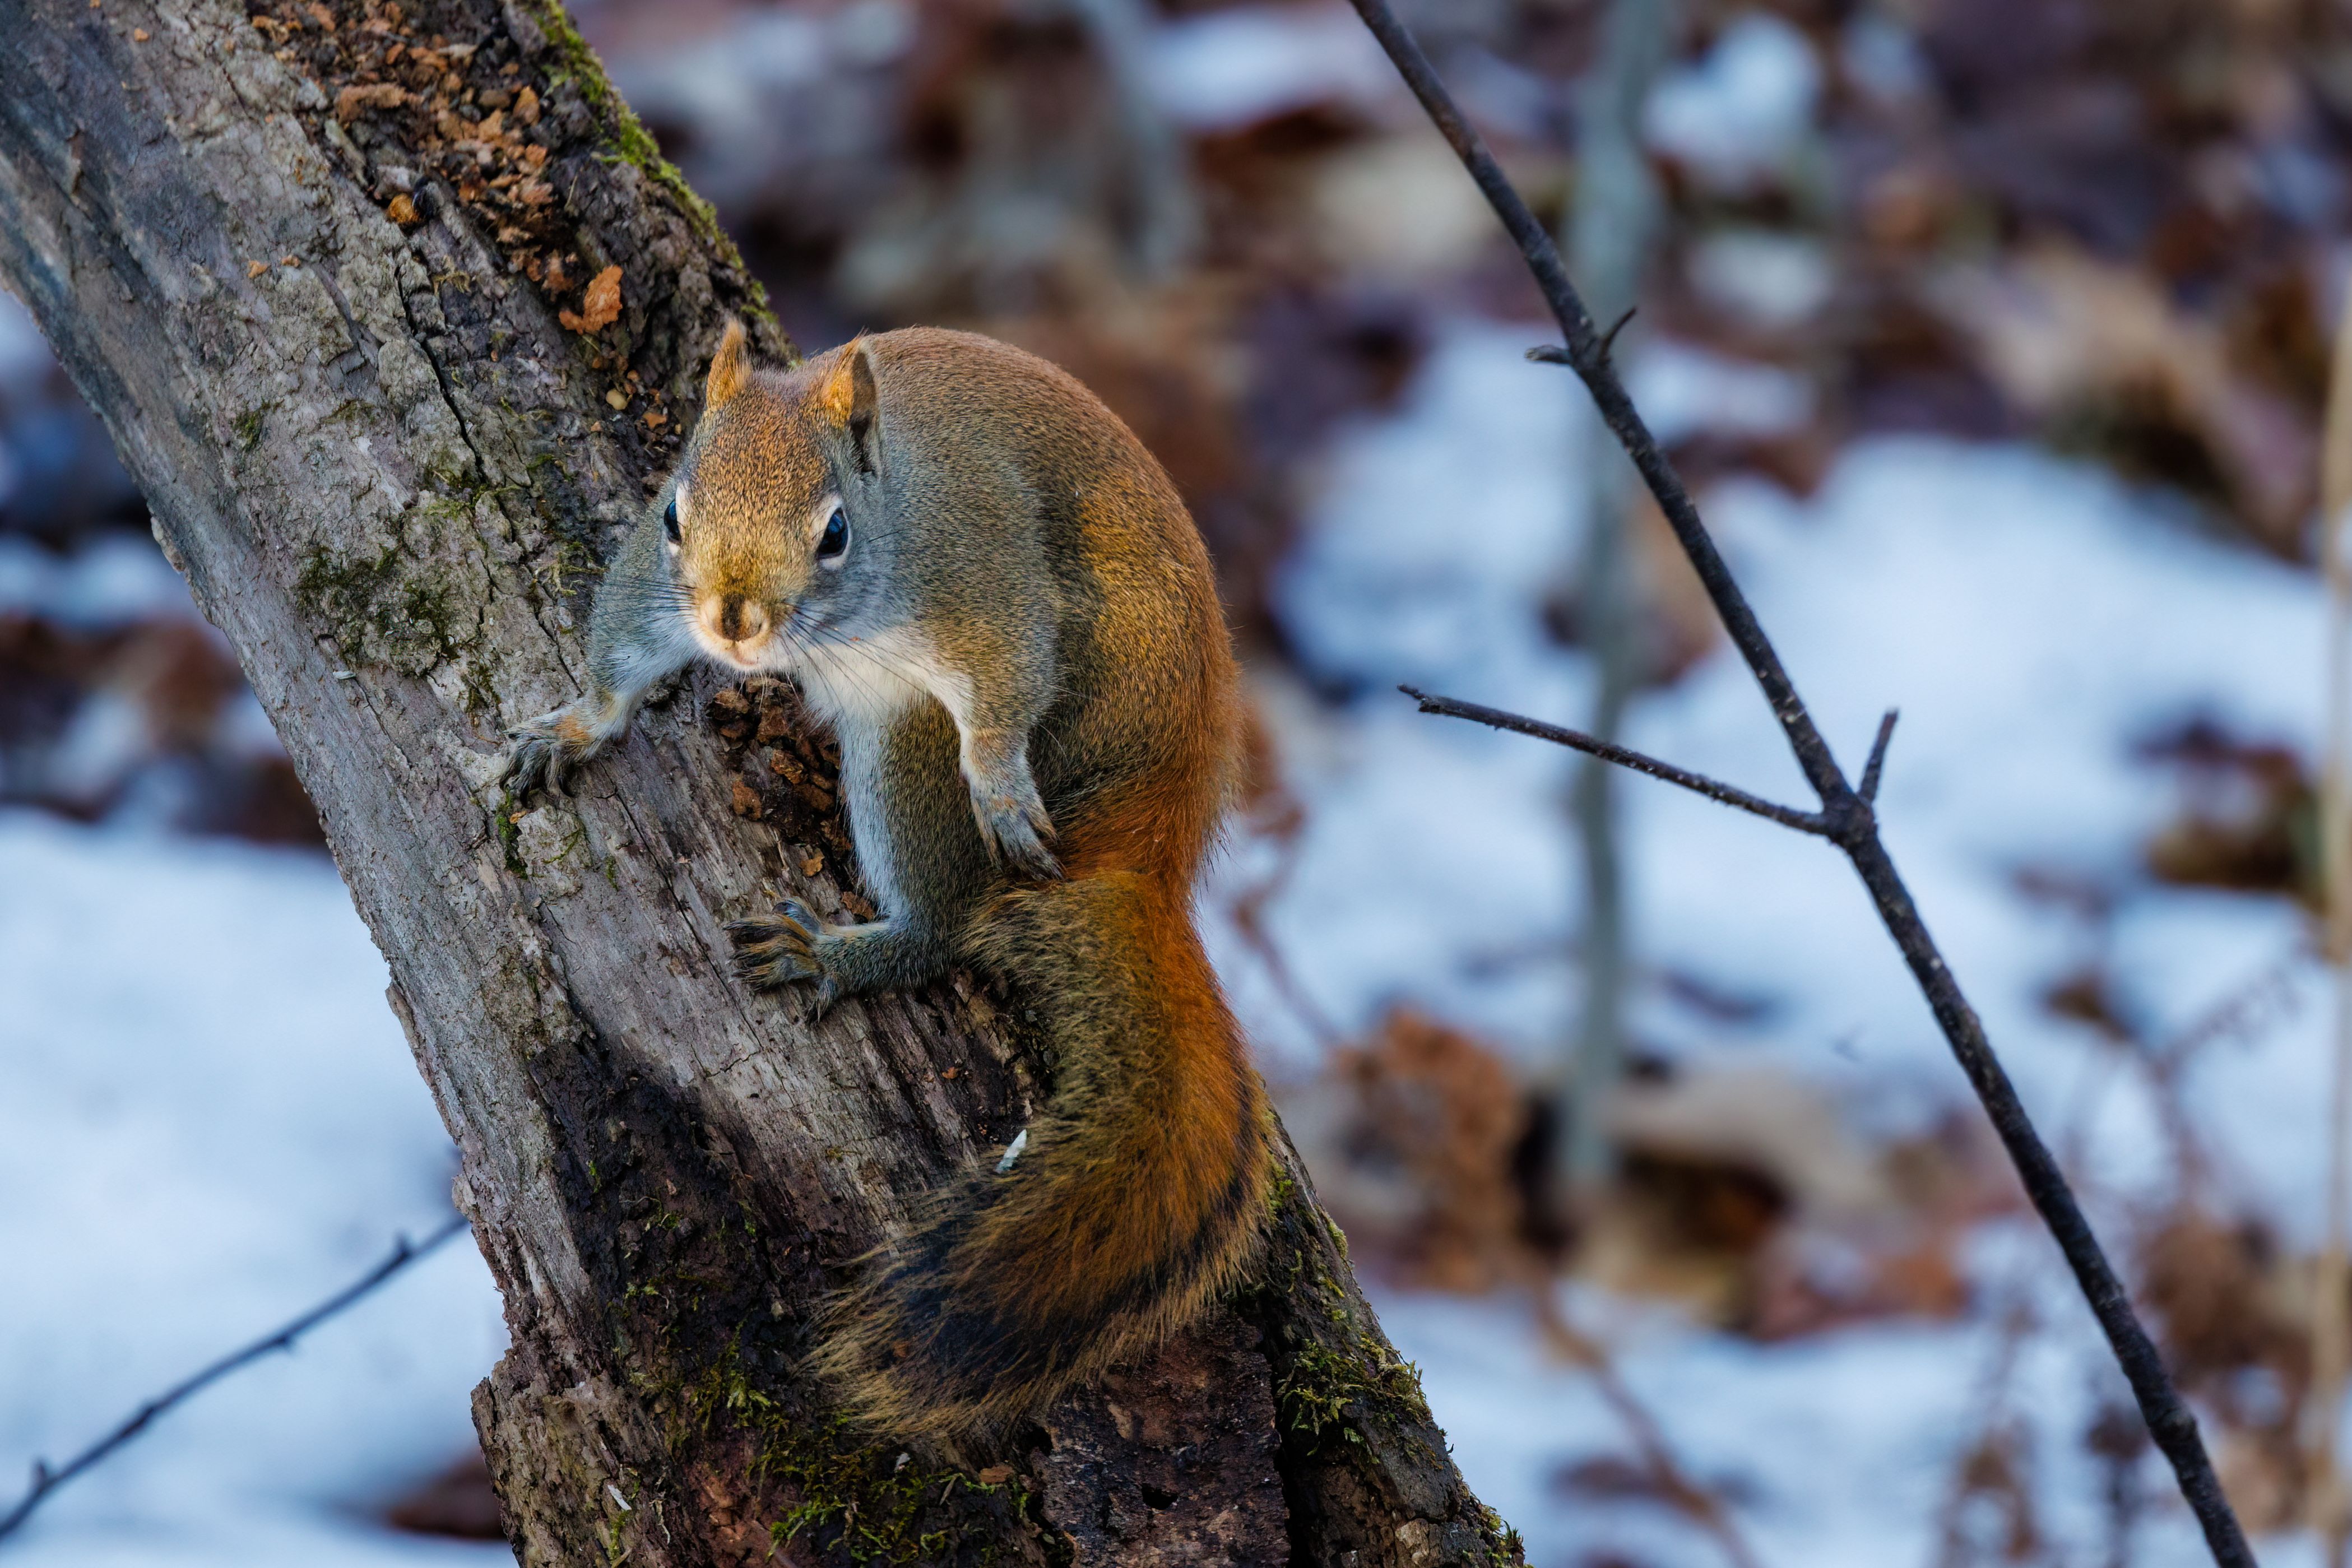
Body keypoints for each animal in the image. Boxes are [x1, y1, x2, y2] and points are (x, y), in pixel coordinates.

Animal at [502, 322, 1270, 1439]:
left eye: (834, 534)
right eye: (674, 513)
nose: (732, 621)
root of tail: (1150, 840)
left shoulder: (982, 584)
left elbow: (1006, 684)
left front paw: (1001, 785)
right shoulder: (651, 582)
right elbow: (620, 655)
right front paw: (572, 729)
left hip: (906, 748)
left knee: (948, 922)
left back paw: (843, 953)